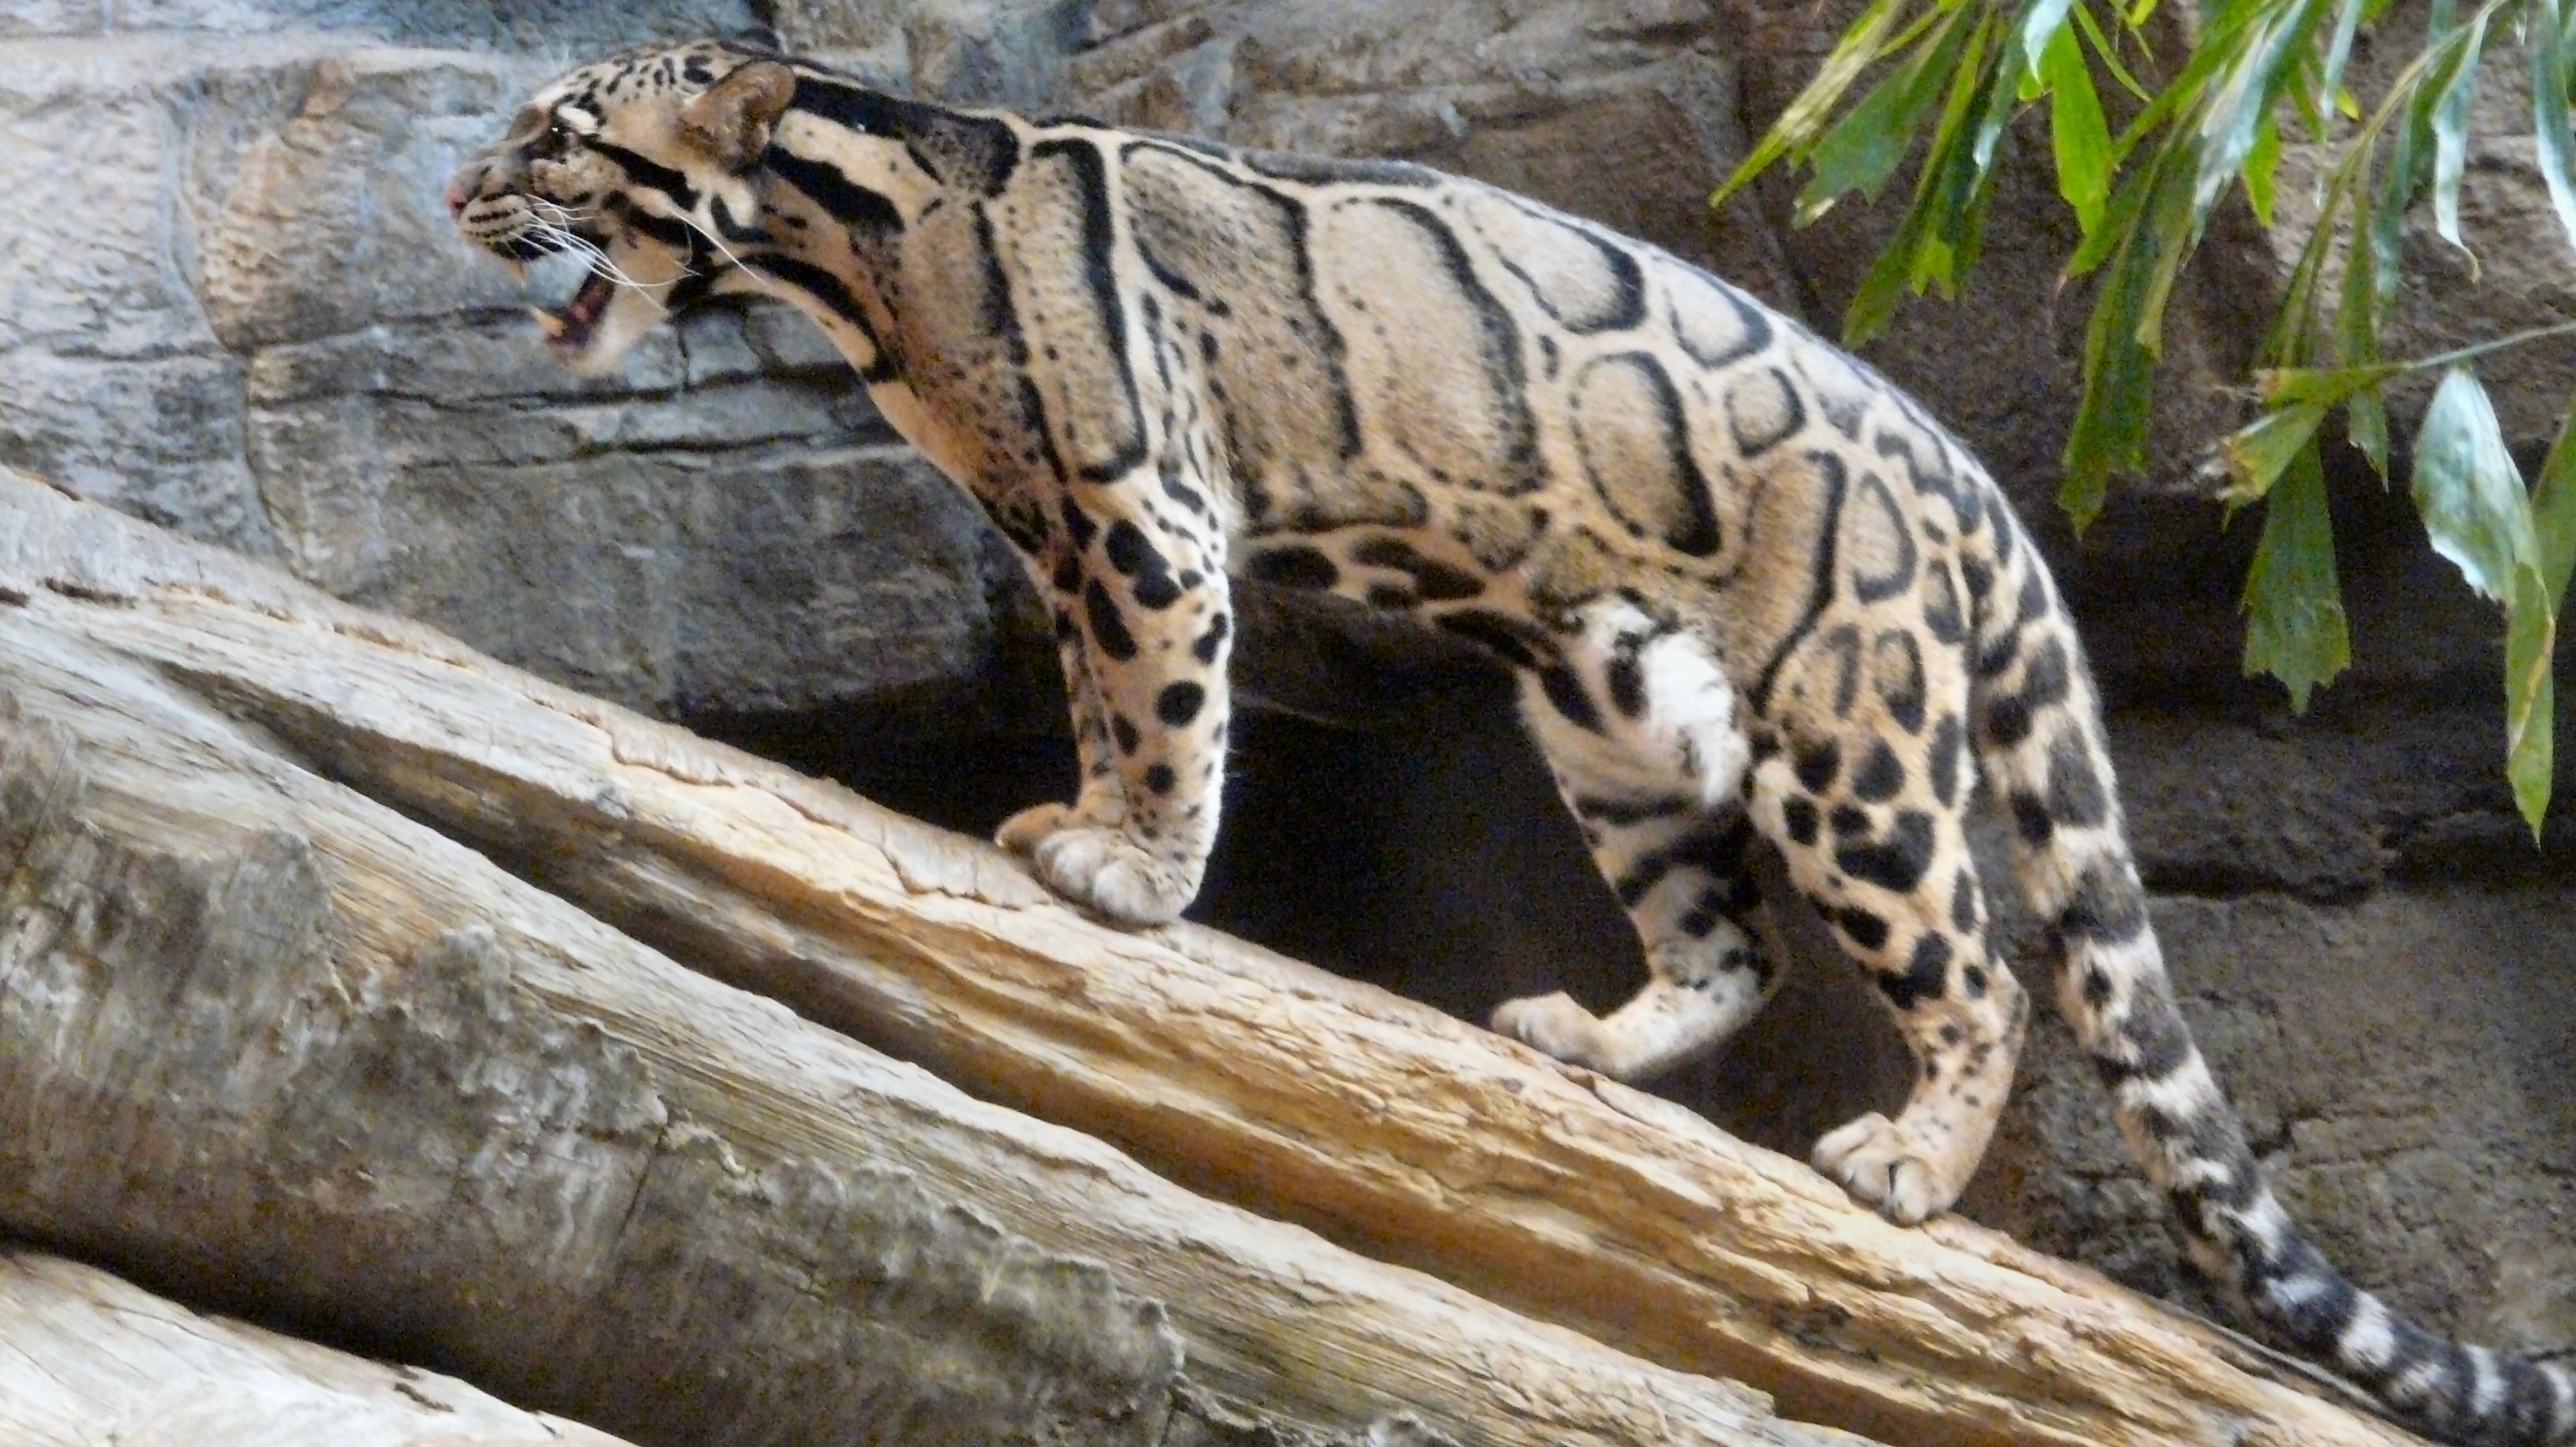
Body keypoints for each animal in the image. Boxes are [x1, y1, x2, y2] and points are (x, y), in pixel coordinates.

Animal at [447, 32, 2573, 1445]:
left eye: (559, 133)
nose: (457, 198)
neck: (860, 250)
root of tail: (1969, 477)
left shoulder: (1140, 508)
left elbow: (1164, 701)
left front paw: (1130, 868)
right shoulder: (1068, 537)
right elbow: (1103, 693)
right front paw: (1089, 821)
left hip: (1848, 735)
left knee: (1978, 968)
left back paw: (1901, 1158)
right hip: (1614, 707)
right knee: (1729, 942)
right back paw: (1597, 1043)